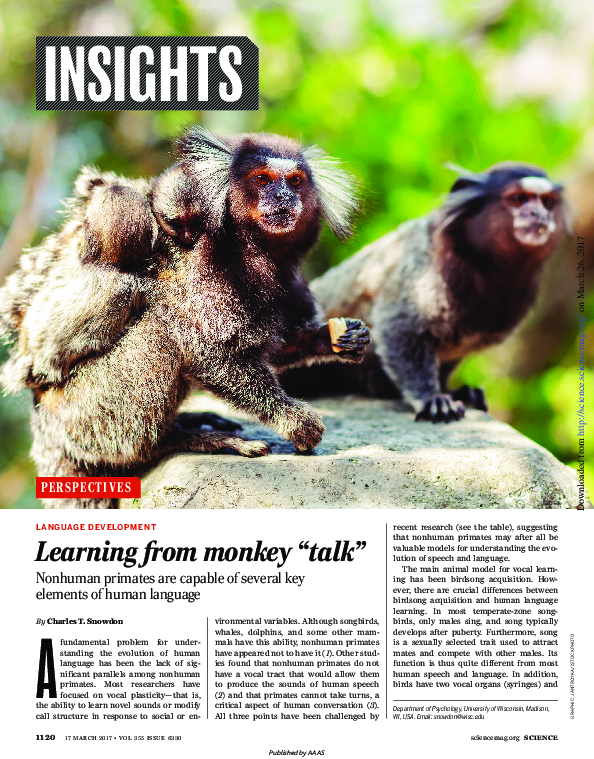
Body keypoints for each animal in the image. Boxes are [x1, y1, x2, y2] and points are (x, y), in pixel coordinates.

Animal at [0, 126, 369, 507]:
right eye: (262, 179)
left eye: (295, 181)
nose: (283, 197)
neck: (257, 252)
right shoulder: (205, 271)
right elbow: (210, 353)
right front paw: (294, 420)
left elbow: (278, 348)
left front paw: (334, 338)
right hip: (81, 414)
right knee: (157, 332)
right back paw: (175, 440)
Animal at [282, 162, 565, 422]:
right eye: (519, 199)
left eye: (547, 202)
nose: (539, 214)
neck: (486, 266)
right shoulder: (424, 274)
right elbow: (399, 329)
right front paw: (432, 397)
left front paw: (456, 391)